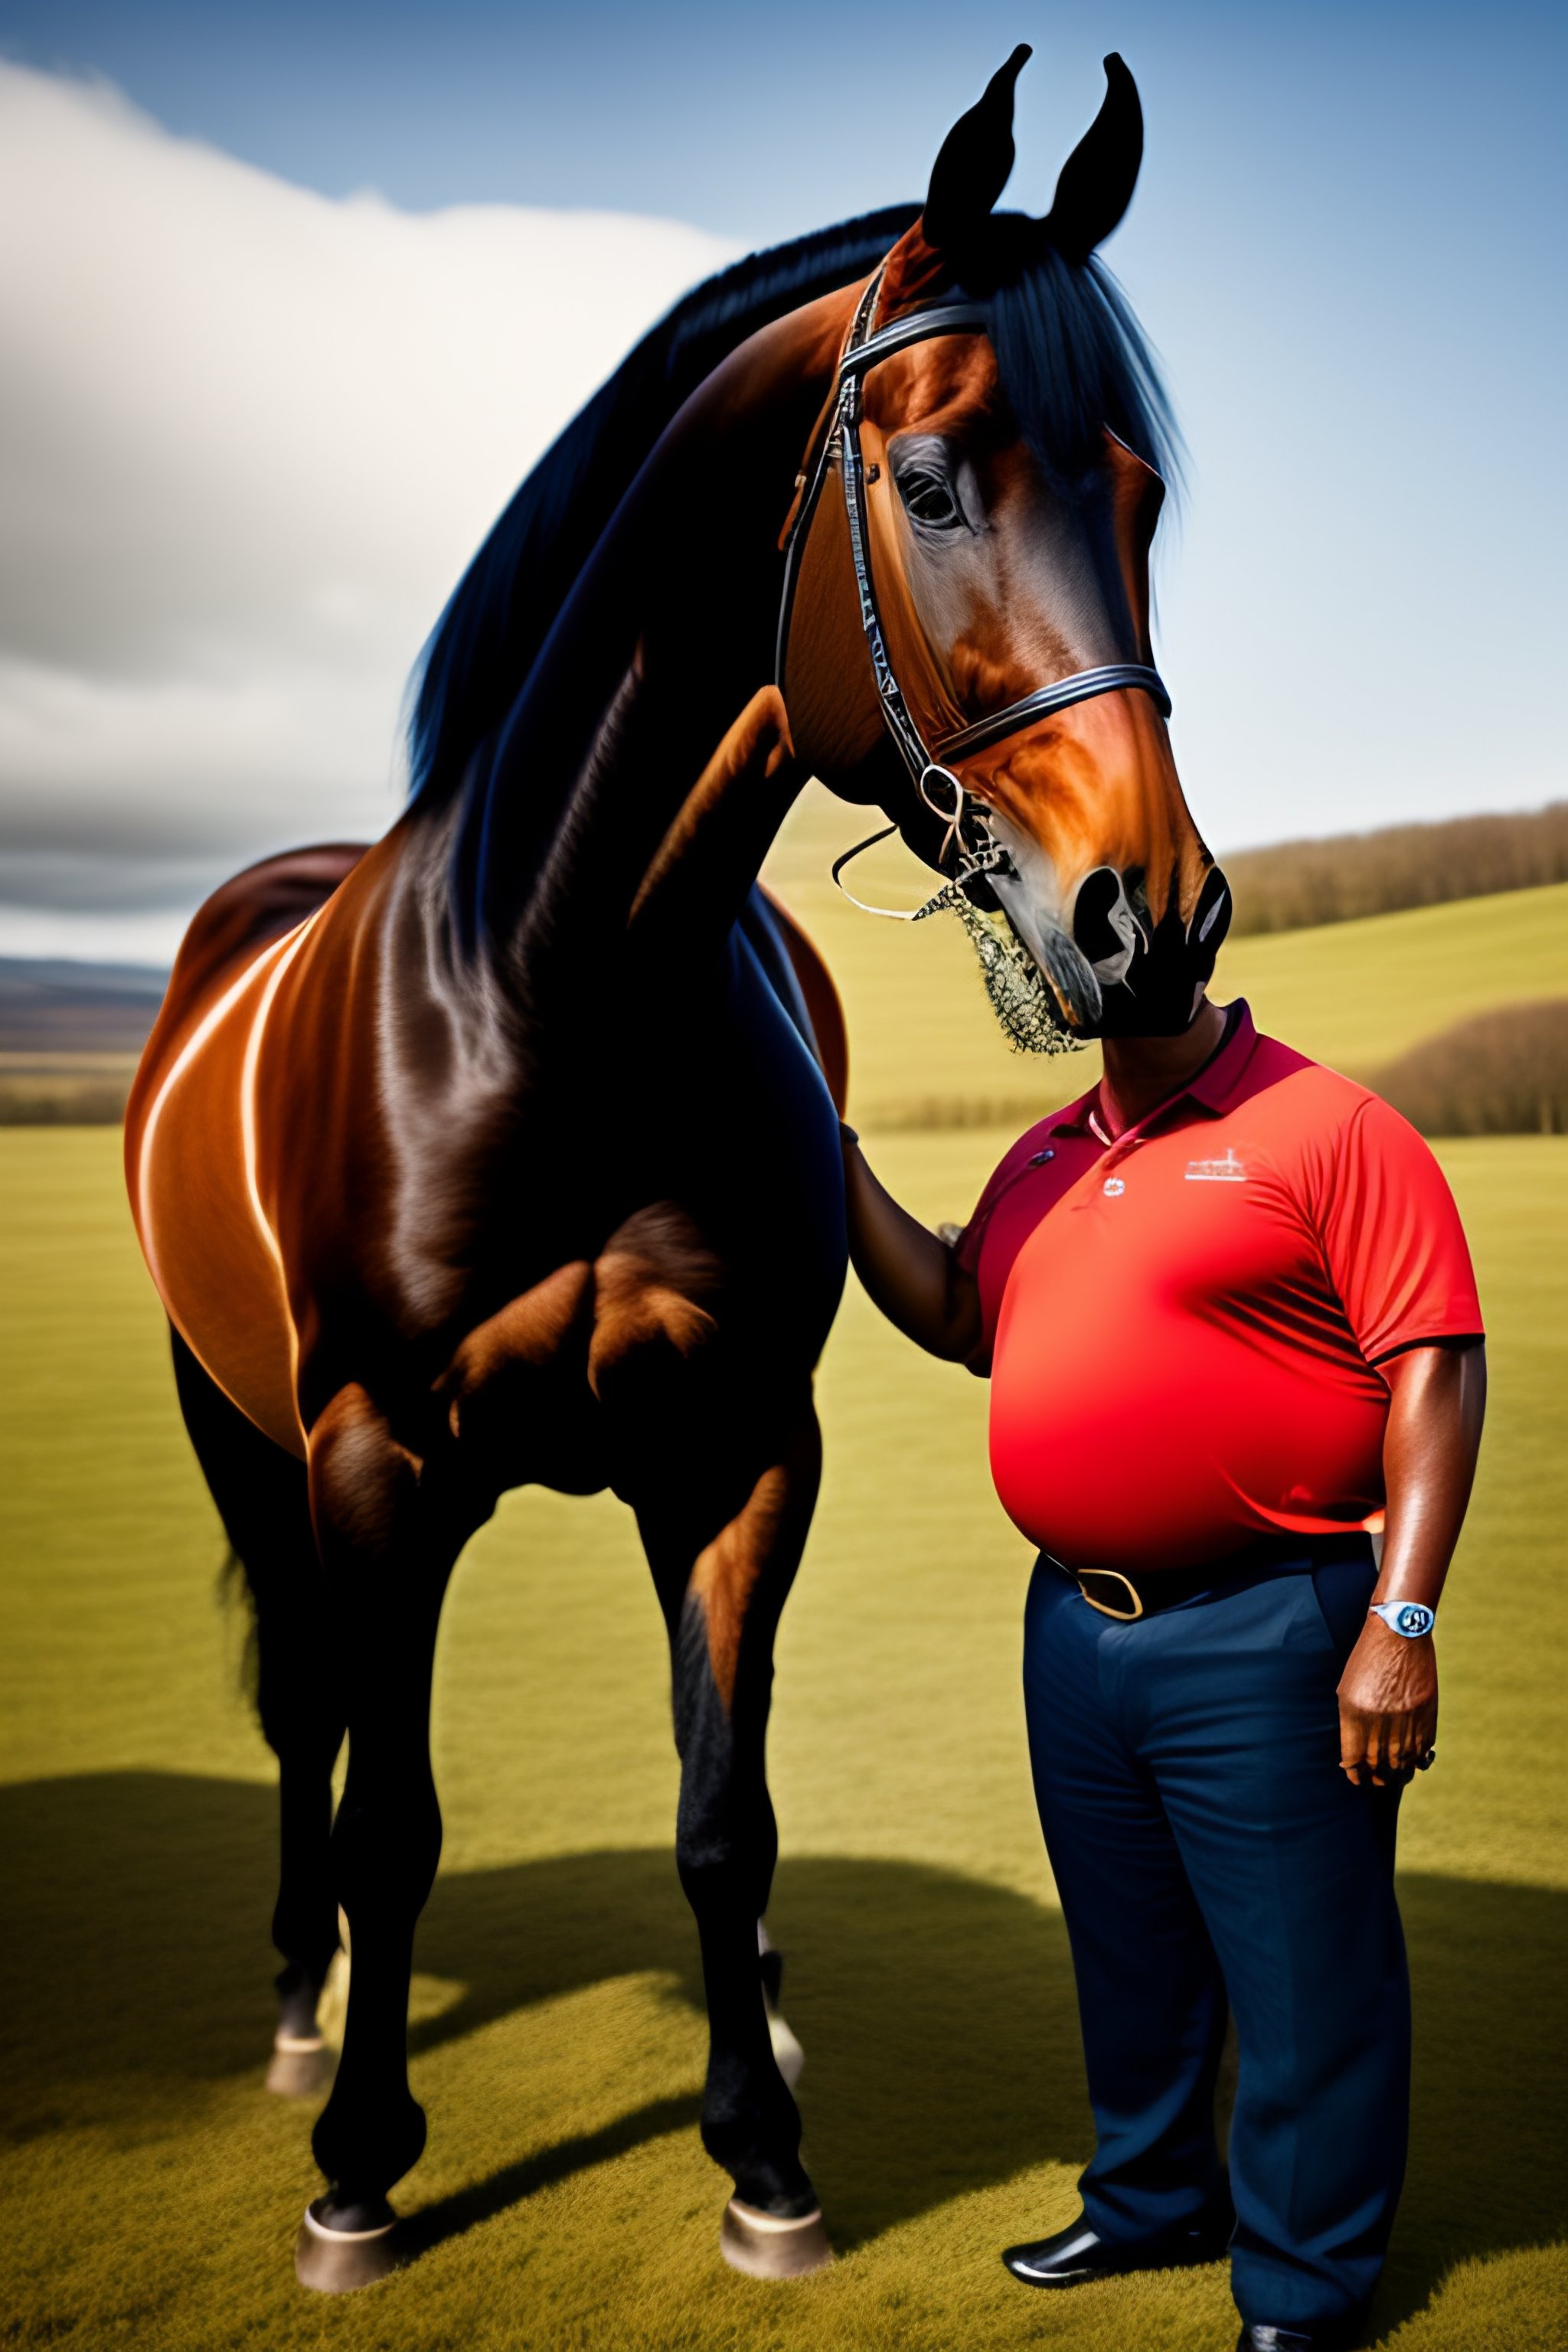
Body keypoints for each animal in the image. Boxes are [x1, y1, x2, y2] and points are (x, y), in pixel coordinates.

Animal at [124, 44, 1228, 2292]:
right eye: (931, 481)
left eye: (1141, 492)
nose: (1148, 918)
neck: (553, 991)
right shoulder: (373, 1461)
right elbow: (390, 1812)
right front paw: (360, 2168)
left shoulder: (733, 1451)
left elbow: (729, 1810)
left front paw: (767, 2159)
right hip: (240, 1435)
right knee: (304, 1717)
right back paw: (295, 2017)